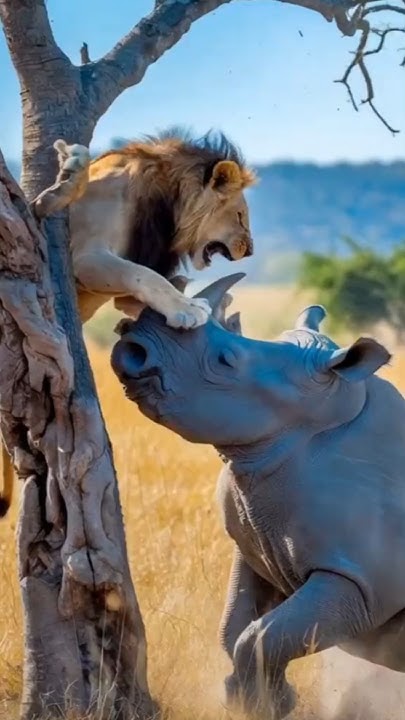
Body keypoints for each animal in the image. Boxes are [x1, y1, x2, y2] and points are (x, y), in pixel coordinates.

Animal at [0, 128, 256, 517]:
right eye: (240, 216)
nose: (251, 250)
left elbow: (149, 285)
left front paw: (187, 302)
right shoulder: (87, 258)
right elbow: (145, 275)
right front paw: (188, 310)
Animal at [111, 273, 405, 719]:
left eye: (225, 360)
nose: (132, 347)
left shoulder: (357, 578)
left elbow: (264, 636)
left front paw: (261, 704)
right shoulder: (257, 544)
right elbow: (237, 627)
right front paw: (251, 700)